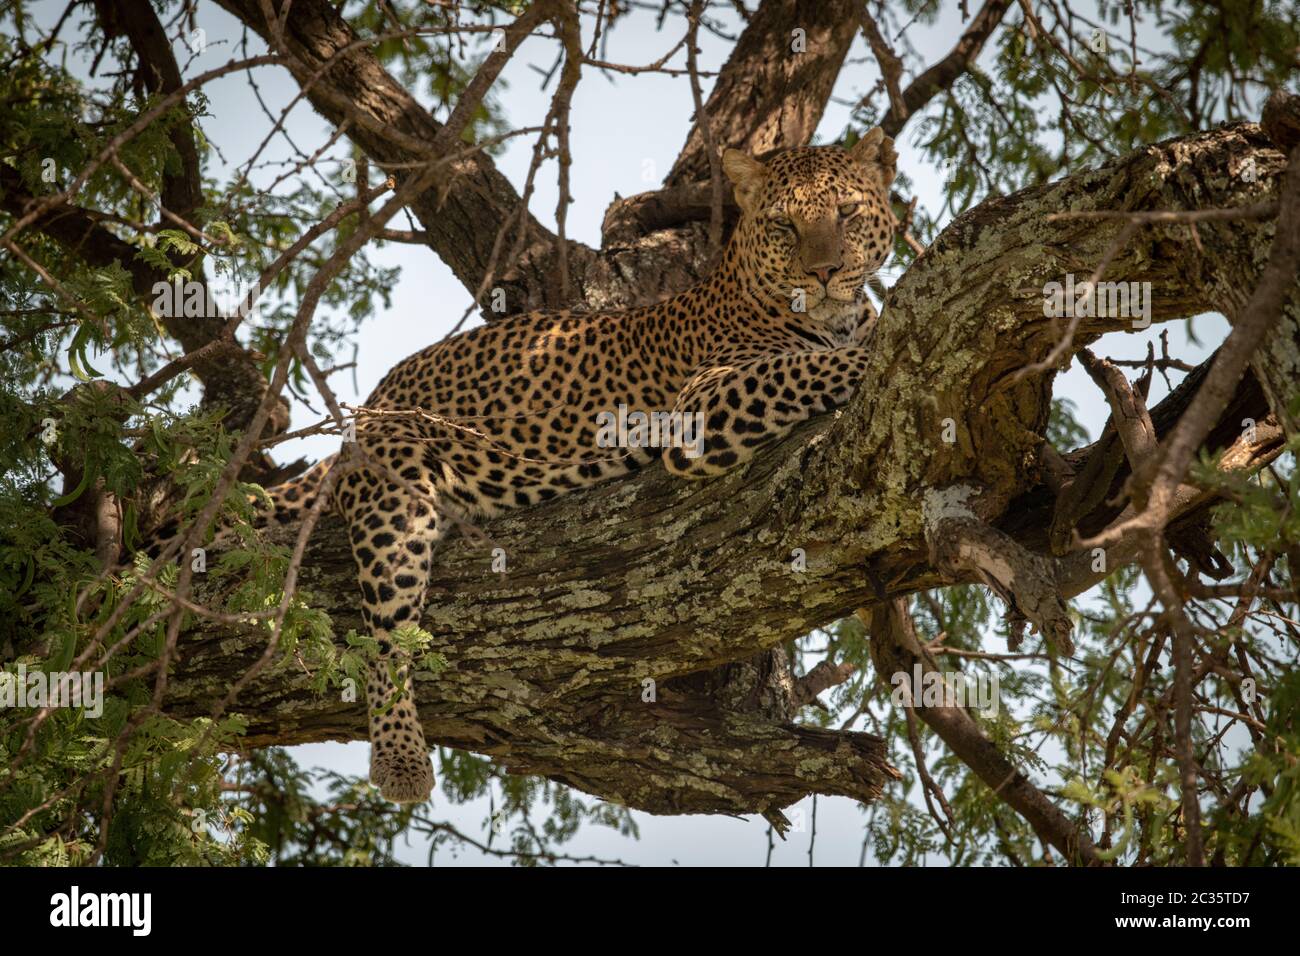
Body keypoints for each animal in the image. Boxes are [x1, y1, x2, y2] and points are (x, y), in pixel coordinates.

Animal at [259, 127, 898, 803]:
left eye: (847, 214)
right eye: (782, 225)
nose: (824, 273)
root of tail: (370, 406)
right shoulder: (703, 403)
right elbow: (806, 366)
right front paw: (866, 356)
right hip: (396, 497)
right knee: (387, 639)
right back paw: (400, 758)